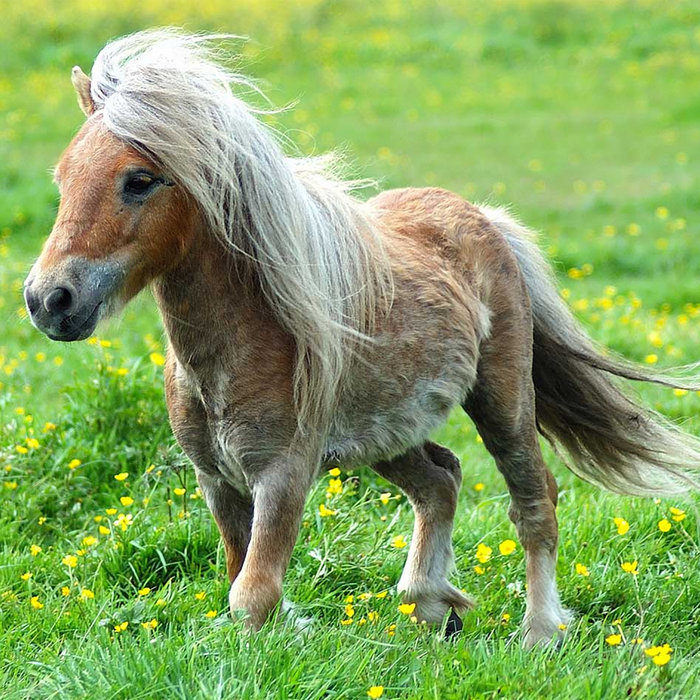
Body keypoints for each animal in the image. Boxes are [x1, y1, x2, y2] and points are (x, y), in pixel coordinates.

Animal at [24, 30, 700, 648]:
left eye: (139, 179)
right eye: (62, 176)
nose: (48, 300)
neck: (238, 348)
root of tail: (484, 218)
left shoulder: (283, 475)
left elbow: (252, 594)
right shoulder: (217, 481)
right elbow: (239, 578)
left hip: (502, 401)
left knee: (534, 501)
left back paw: (538, 634)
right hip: (388, 432)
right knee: (442, 479)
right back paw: (432, 606)